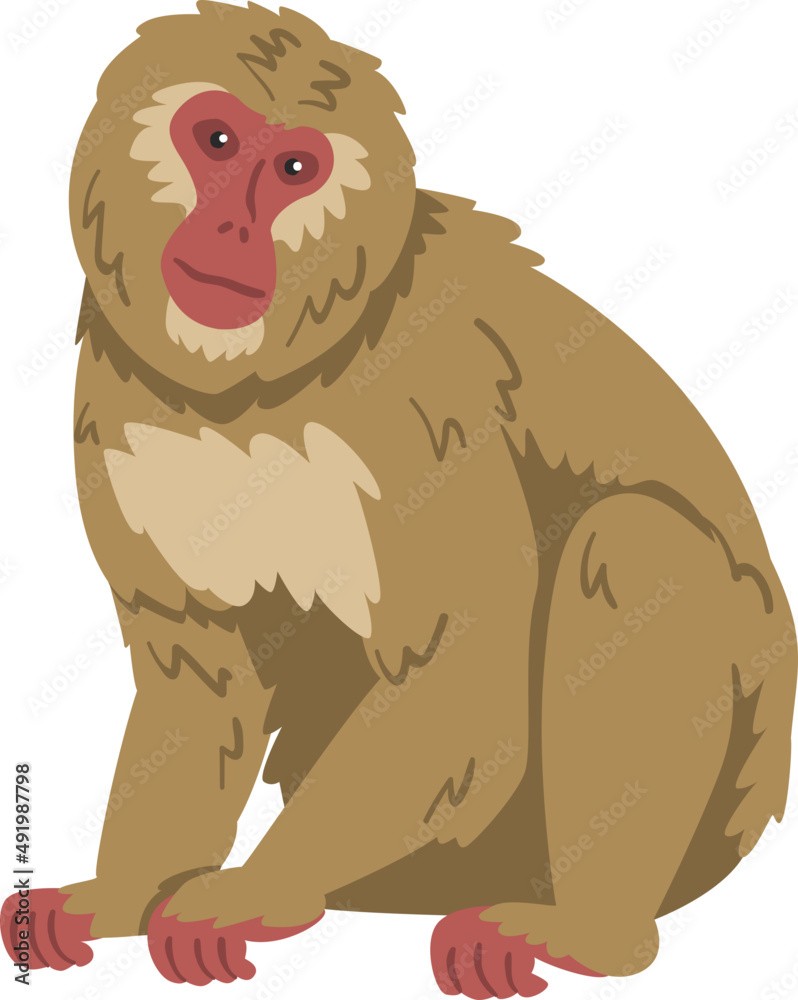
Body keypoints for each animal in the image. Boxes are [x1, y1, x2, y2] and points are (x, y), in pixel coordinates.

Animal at [2, 3, 795, 995]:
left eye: (294, 170)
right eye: (214, 139)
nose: (231, 229)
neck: (259, 388)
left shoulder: (419, 402)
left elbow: (456, 677)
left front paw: (259, 889)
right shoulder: (116, 407)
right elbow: (202, 685)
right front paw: (123, 894)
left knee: (636, 542)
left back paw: (591, 934)